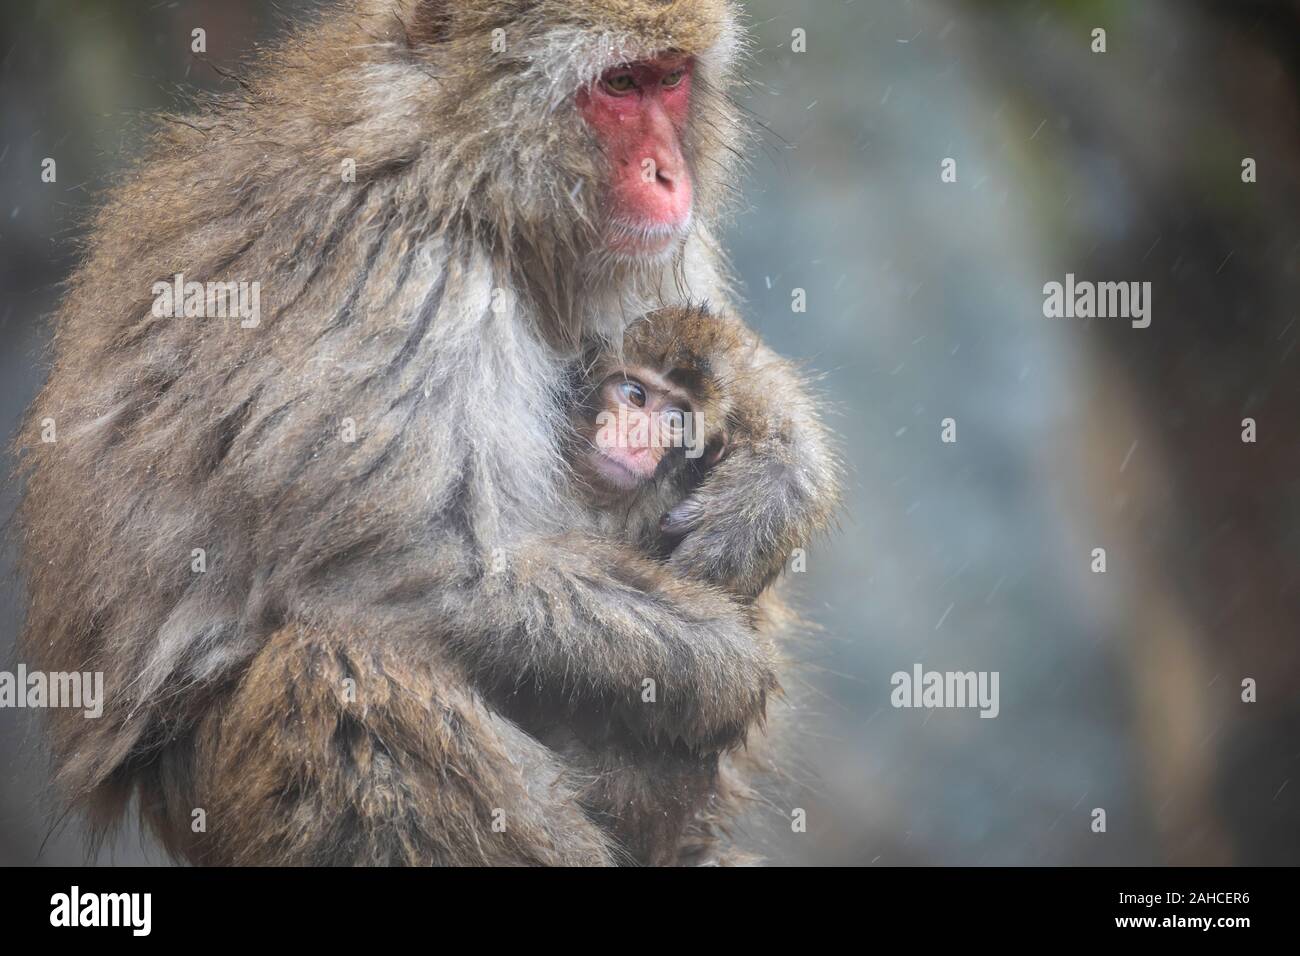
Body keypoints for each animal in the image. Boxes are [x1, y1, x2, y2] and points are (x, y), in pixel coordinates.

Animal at [16, 0, 841, 865]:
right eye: (620, 85)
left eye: (670, 79)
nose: (668, 176)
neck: (460, 178)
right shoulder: (400, 278)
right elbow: (413, 569)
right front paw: (722, 664)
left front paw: (781, 474)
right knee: (340, 672)